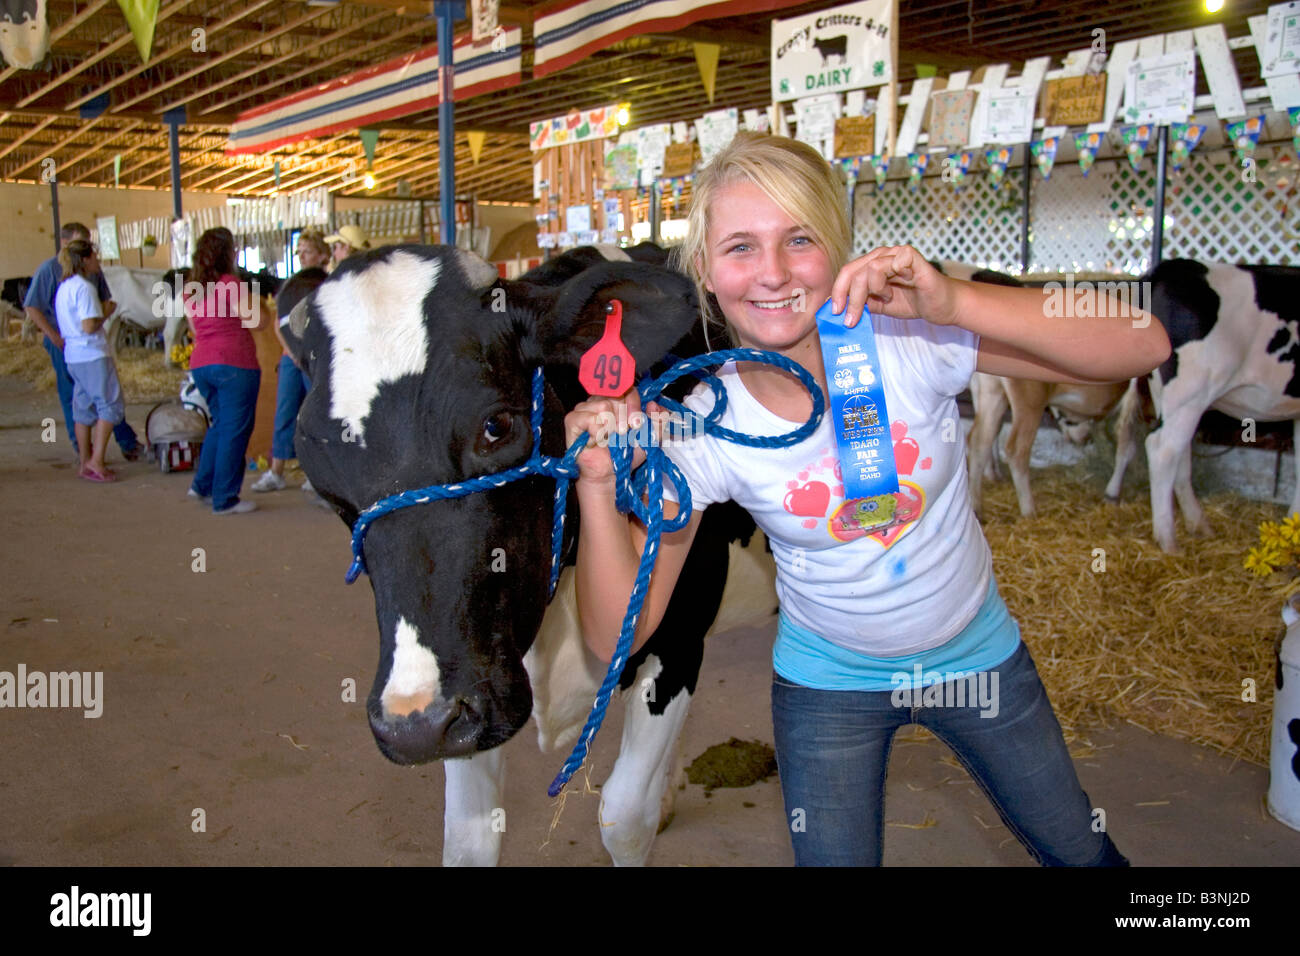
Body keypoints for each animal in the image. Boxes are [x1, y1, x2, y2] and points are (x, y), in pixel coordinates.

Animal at [283, 243, 778, 866]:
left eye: (497, 425)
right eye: (317, 467)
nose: (414, 725)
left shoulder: (679, 638)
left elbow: (622, 817)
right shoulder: (477, 682)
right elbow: (468, 839)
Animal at [1105, 259, 1300, 553]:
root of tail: (1167, 269)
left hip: (1169, 395)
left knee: (1179, 453)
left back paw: (1198, 524)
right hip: (1191, 390)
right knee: (1162, 449)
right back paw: (1168, 541)